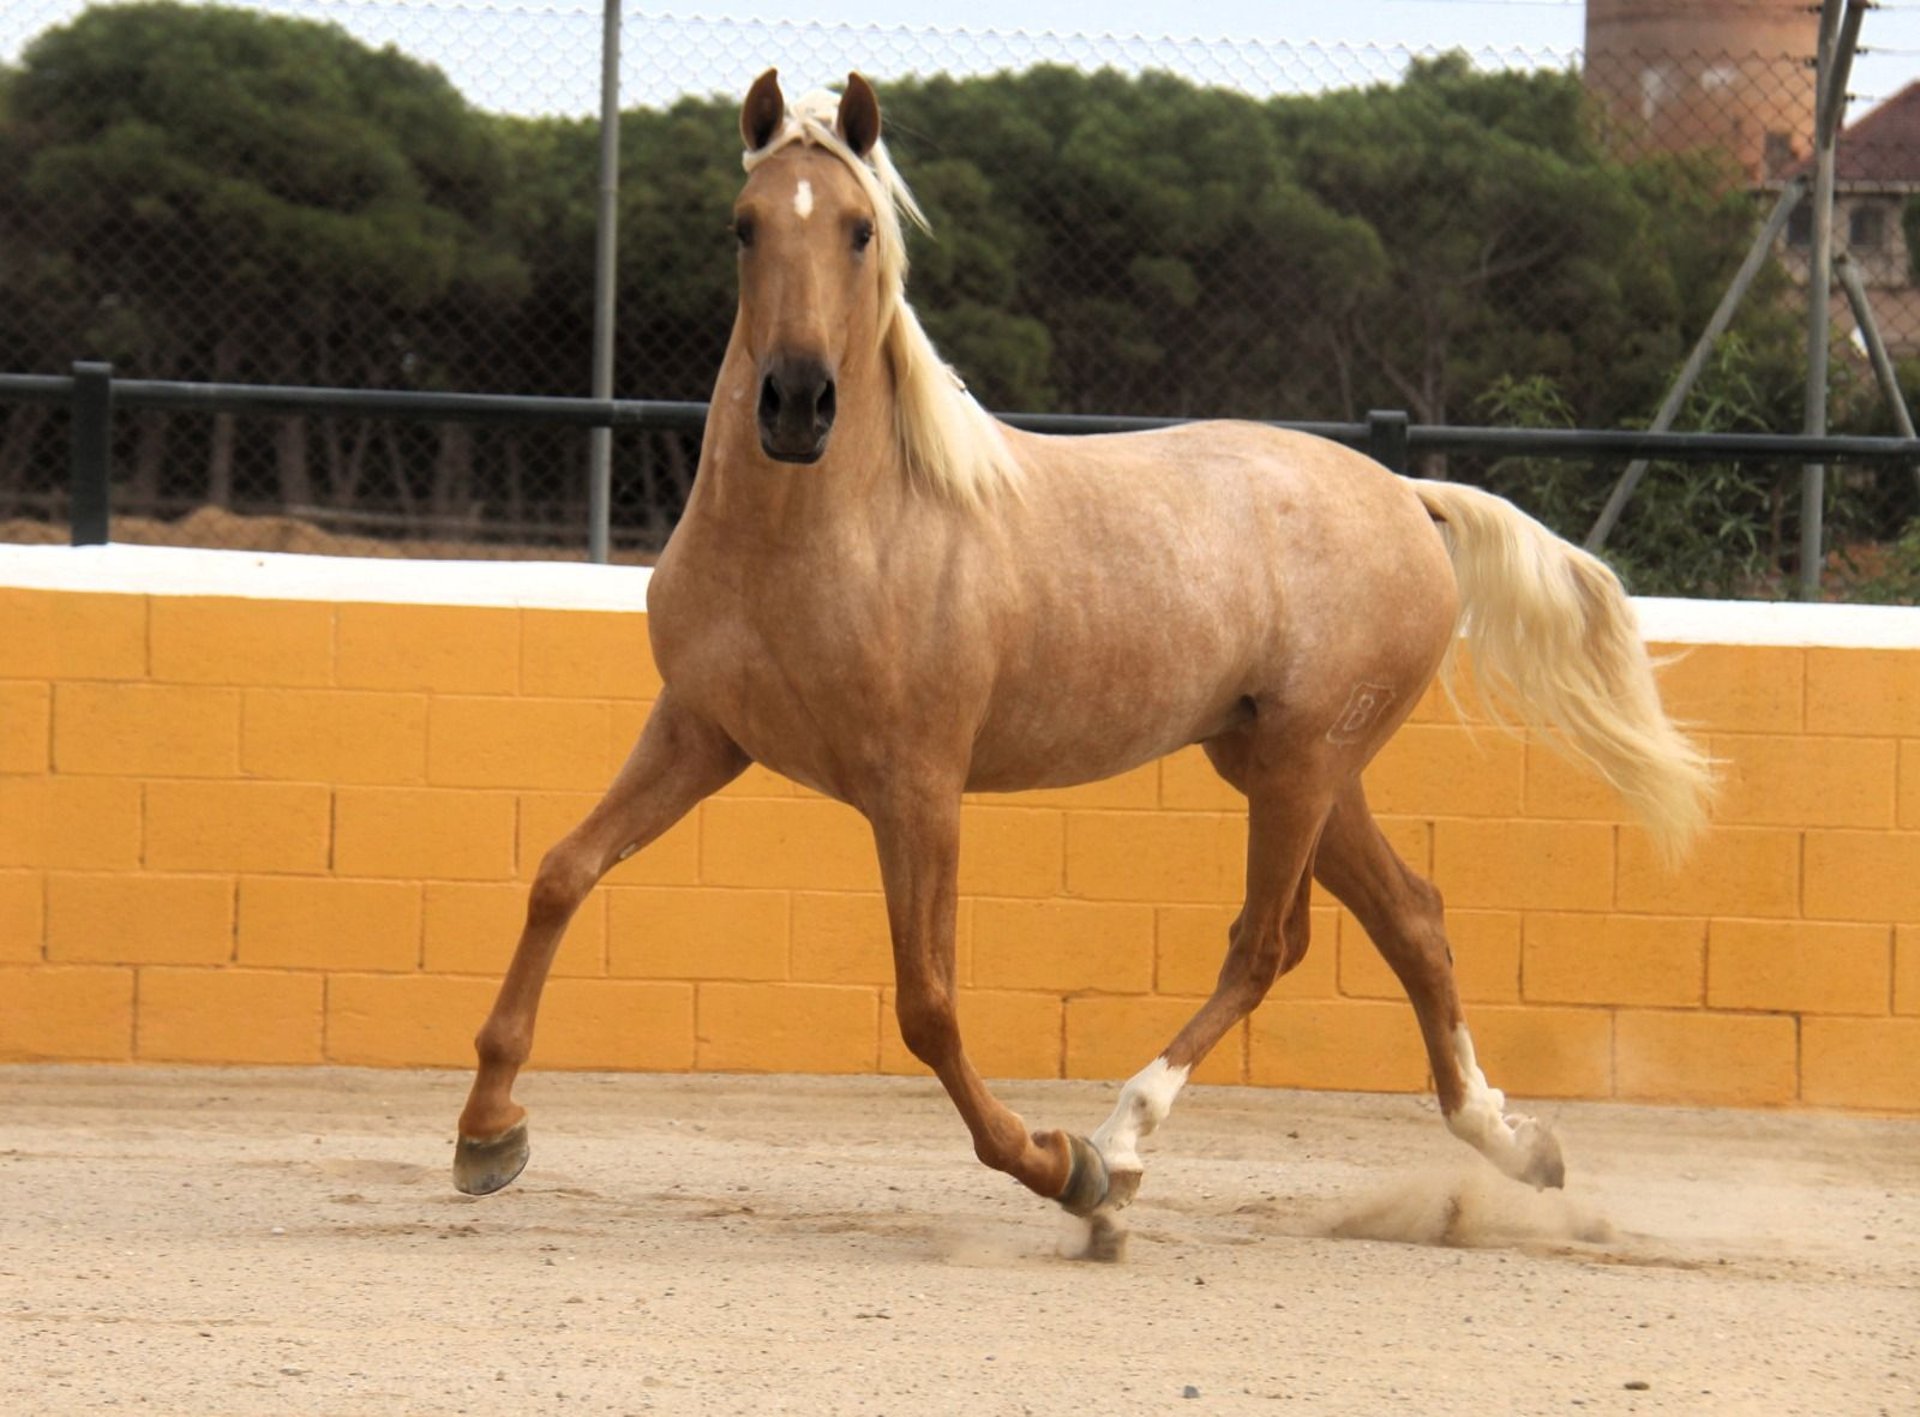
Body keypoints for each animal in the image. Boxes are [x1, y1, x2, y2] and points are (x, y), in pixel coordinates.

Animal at [452, 71, 1710, 1246]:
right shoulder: (702, 731)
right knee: (1412, 918)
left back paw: (1126, 1143)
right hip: (1286, 764)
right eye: (744, 224)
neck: (829, 534)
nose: (797, 404)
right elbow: (562, 871)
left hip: (1302, 765)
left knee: (1267, 945)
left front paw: (1062, 1170)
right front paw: (488, 1133)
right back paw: (1515, 1142)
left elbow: (929, 1004)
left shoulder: (917, 786)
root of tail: (1406, 492)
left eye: (858, 228)